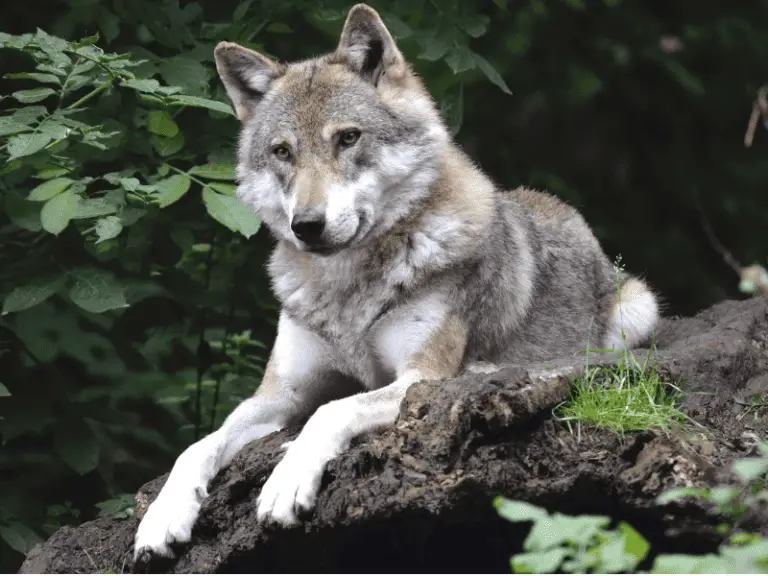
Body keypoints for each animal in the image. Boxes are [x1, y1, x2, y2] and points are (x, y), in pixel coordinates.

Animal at [133, 3, 659, 561]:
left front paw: (285, 482)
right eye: (282, 152)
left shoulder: (416, 377)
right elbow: (198, 445)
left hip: (636, 310)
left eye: (347, 137)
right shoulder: (279, 393)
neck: (347, 292)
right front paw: (162, 516)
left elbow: (331, 411)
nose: (306, 225)